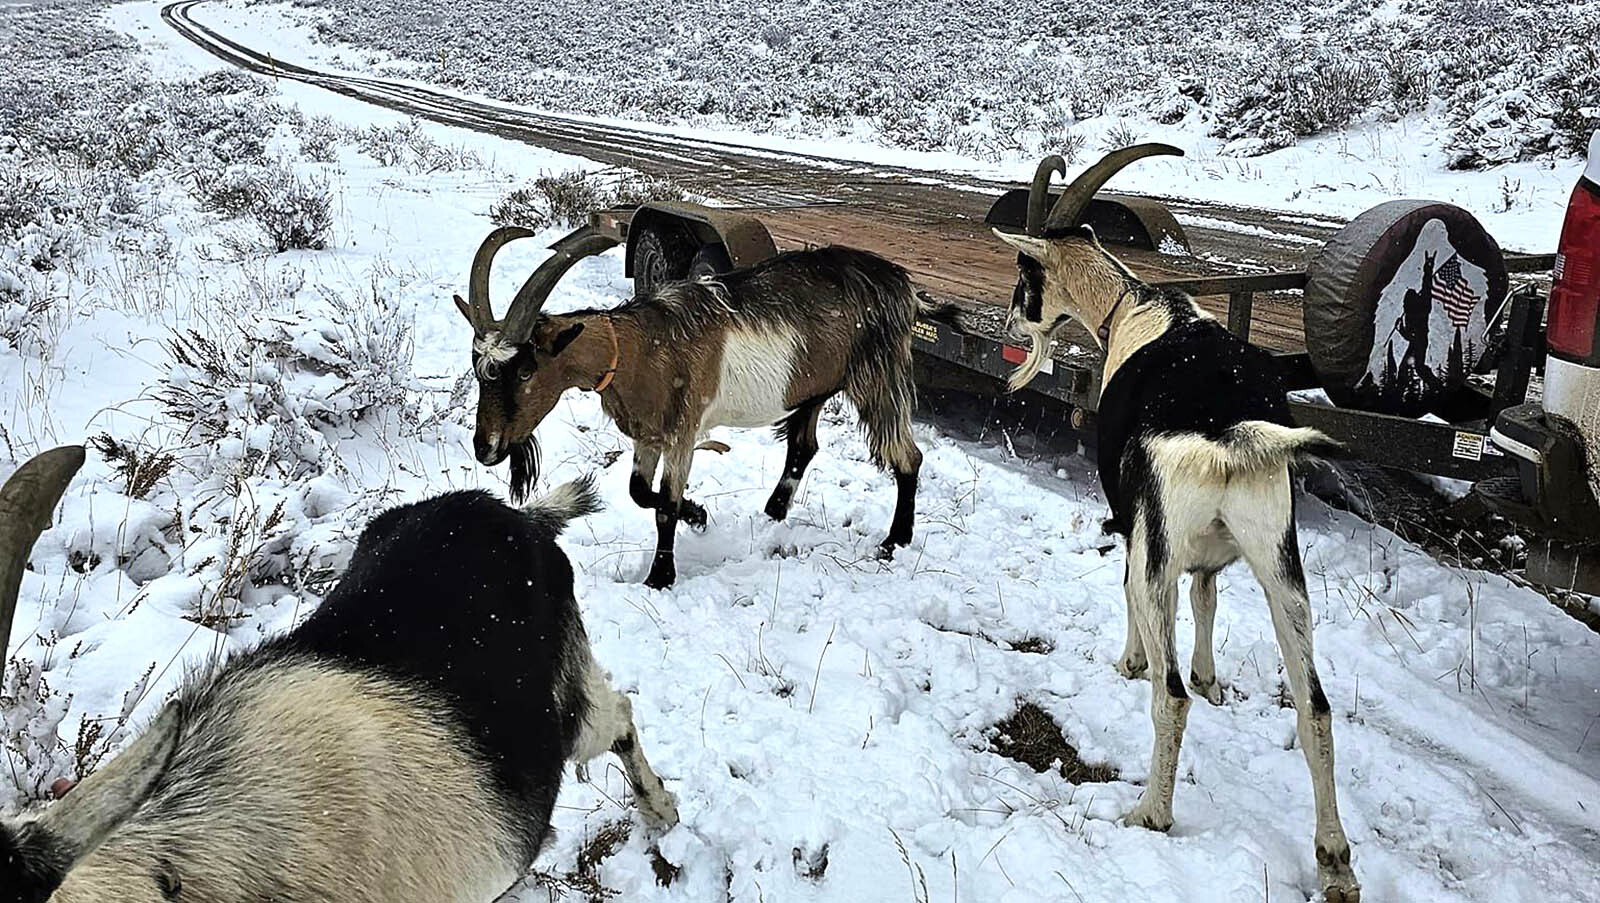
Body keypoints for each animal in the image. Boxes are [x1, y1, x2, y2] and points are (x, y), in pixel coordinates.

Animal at [453, 228, 924, 589]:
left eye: (525, 371)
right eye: (478, 368)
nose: (485, 448)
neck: (640, 348)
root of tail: (900, 283)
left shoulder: (682, 430)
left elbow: (665, 506)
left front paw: (660, 577)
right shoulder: (648, 434)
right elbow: (641, 492)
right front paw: (698, 516)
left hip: (878, 376)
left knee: (907, 456)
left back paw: (894, 542)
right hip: (813, 391)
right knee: (803, 447)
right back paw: (773, 512)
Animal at [993, 146, 1360, 902]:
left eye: (1026, 274)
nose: (1012, 325)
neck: (1137, 308)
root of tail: (1228, 430)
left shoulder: (1137, 525)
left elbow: (1128, 593)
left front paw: (1131, 660)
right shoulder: (1213, 553)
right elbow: (1209, 594)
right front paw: (1212, 674)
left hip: (1164, 538)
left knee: (1171, 697)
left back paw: (1150, 810)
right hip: (1279, 554)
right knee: (1315, 707)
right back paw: (1336, 861)